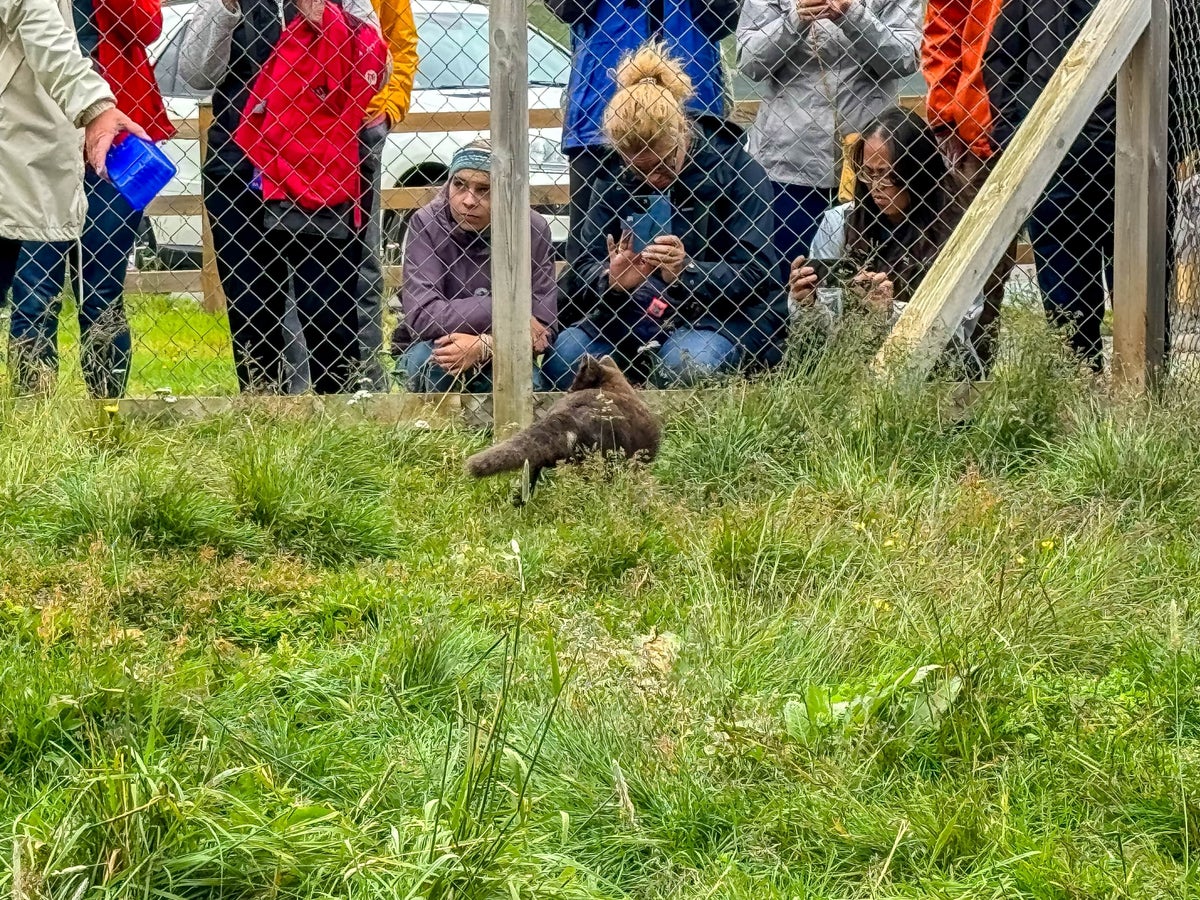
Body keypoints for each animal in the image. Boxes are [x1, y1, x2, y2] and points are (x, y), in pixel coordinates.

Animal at [465, 355, 661, 500]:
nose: (568, 390)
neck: (616, 387)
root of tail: (563, 416)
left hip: (546, 458)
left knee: (530, 478)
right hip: (601, 461)